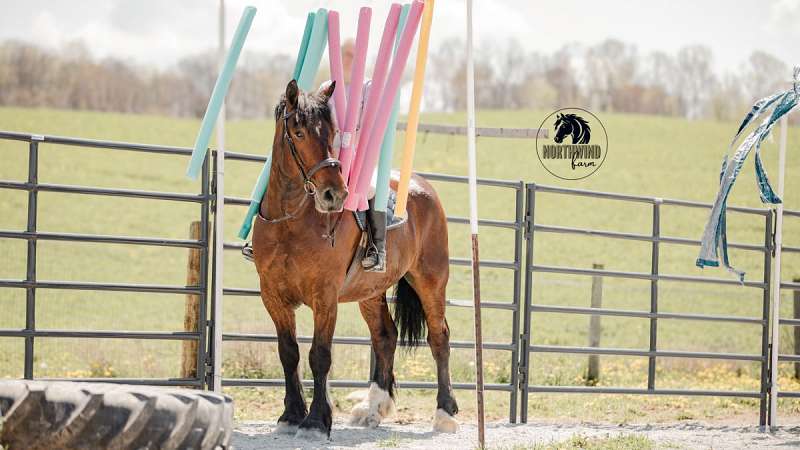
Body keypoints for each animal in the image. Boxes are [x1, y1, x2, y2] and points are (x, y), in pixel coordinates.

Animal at [251, 80, 459, 439]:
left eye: (333, 132)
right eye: (299, 132)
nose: (333, 195)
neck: (291, 221)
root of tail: (423, 187)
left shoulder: (325, 296)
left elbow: (320, 355)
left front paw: (316, 421)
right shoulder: (272, 296)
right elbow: (288, 353)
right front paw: (291, 415)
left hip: (431, 280)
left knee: (439, 337)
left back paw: (444, 413)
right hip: (370, 292)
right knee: (385, 337)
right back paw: (373, 408)